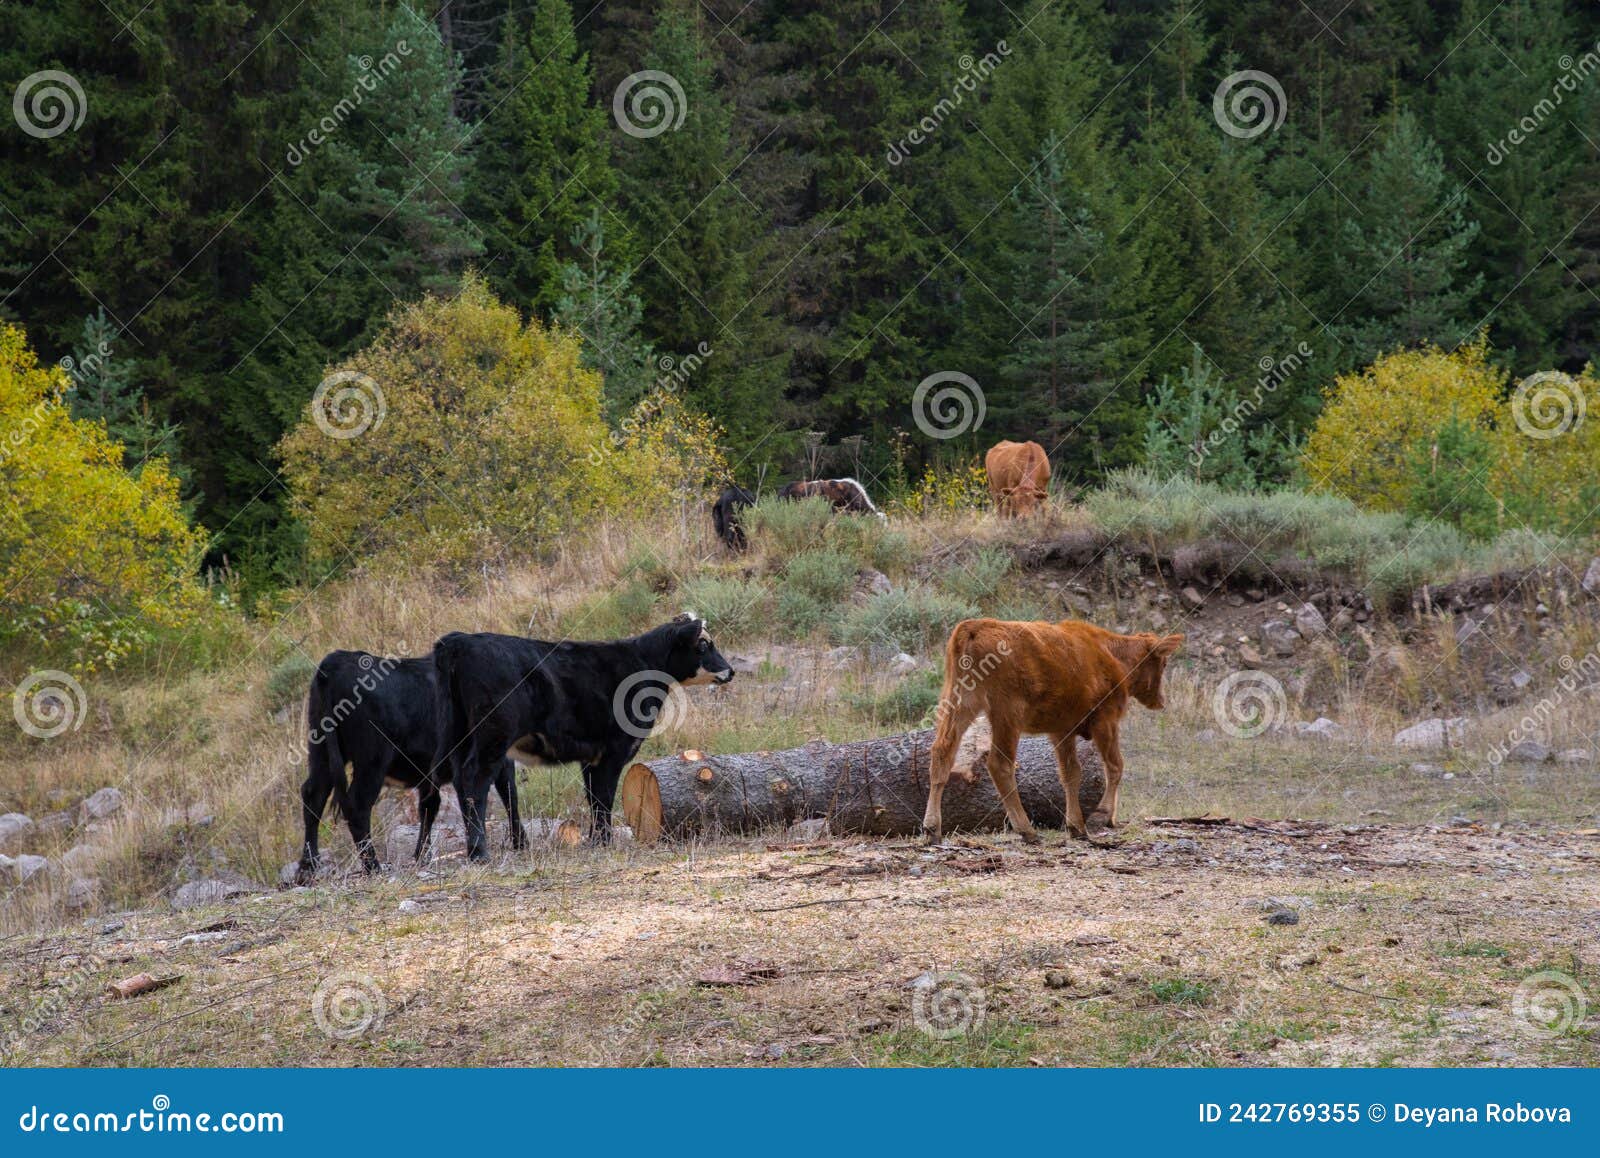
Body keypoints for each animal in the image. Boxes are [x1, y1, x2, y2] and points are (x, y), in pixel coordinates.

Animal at [297, 651, 521, 884]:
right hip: (371, 760)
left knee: (314, 795)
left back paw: (307, 868)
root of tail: (335, 661)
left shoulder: (429, 772)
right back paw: (372, 866)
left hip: (320, 749)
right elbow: (501, 793)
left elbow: (430, 807)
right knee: (357, 804)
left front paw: (422, 855)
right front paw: (507, 845)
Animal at [432, 614, 735, 859]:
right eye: (704, 645)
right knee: (475, 779)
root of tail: (460, 640)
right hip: (492, 736)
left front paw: (595, 839)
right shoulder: (614, 750)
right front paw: (604, 840)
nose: (730, 671)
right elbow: (604, 796)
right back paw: (479, 852)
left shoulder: (592, 756)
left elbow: (593, 796)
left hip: (460, 735)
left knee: (461, 780)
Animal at [921, 619, 1183, 845]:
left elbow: (1071, 773)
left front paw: (1076, 826)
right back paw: (1026, 829)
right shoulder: (1105, 720)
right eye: (1163, 663)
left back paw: (932, 828)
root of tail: (972, 627)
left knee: (942, 751)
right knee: (999, 764)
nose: (1161, 700)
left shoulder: (1062, 730)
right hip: (1007, 713)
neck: (1113, 656)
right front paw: (1102, 815)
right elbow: (1115, 766)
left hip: (959, 702)